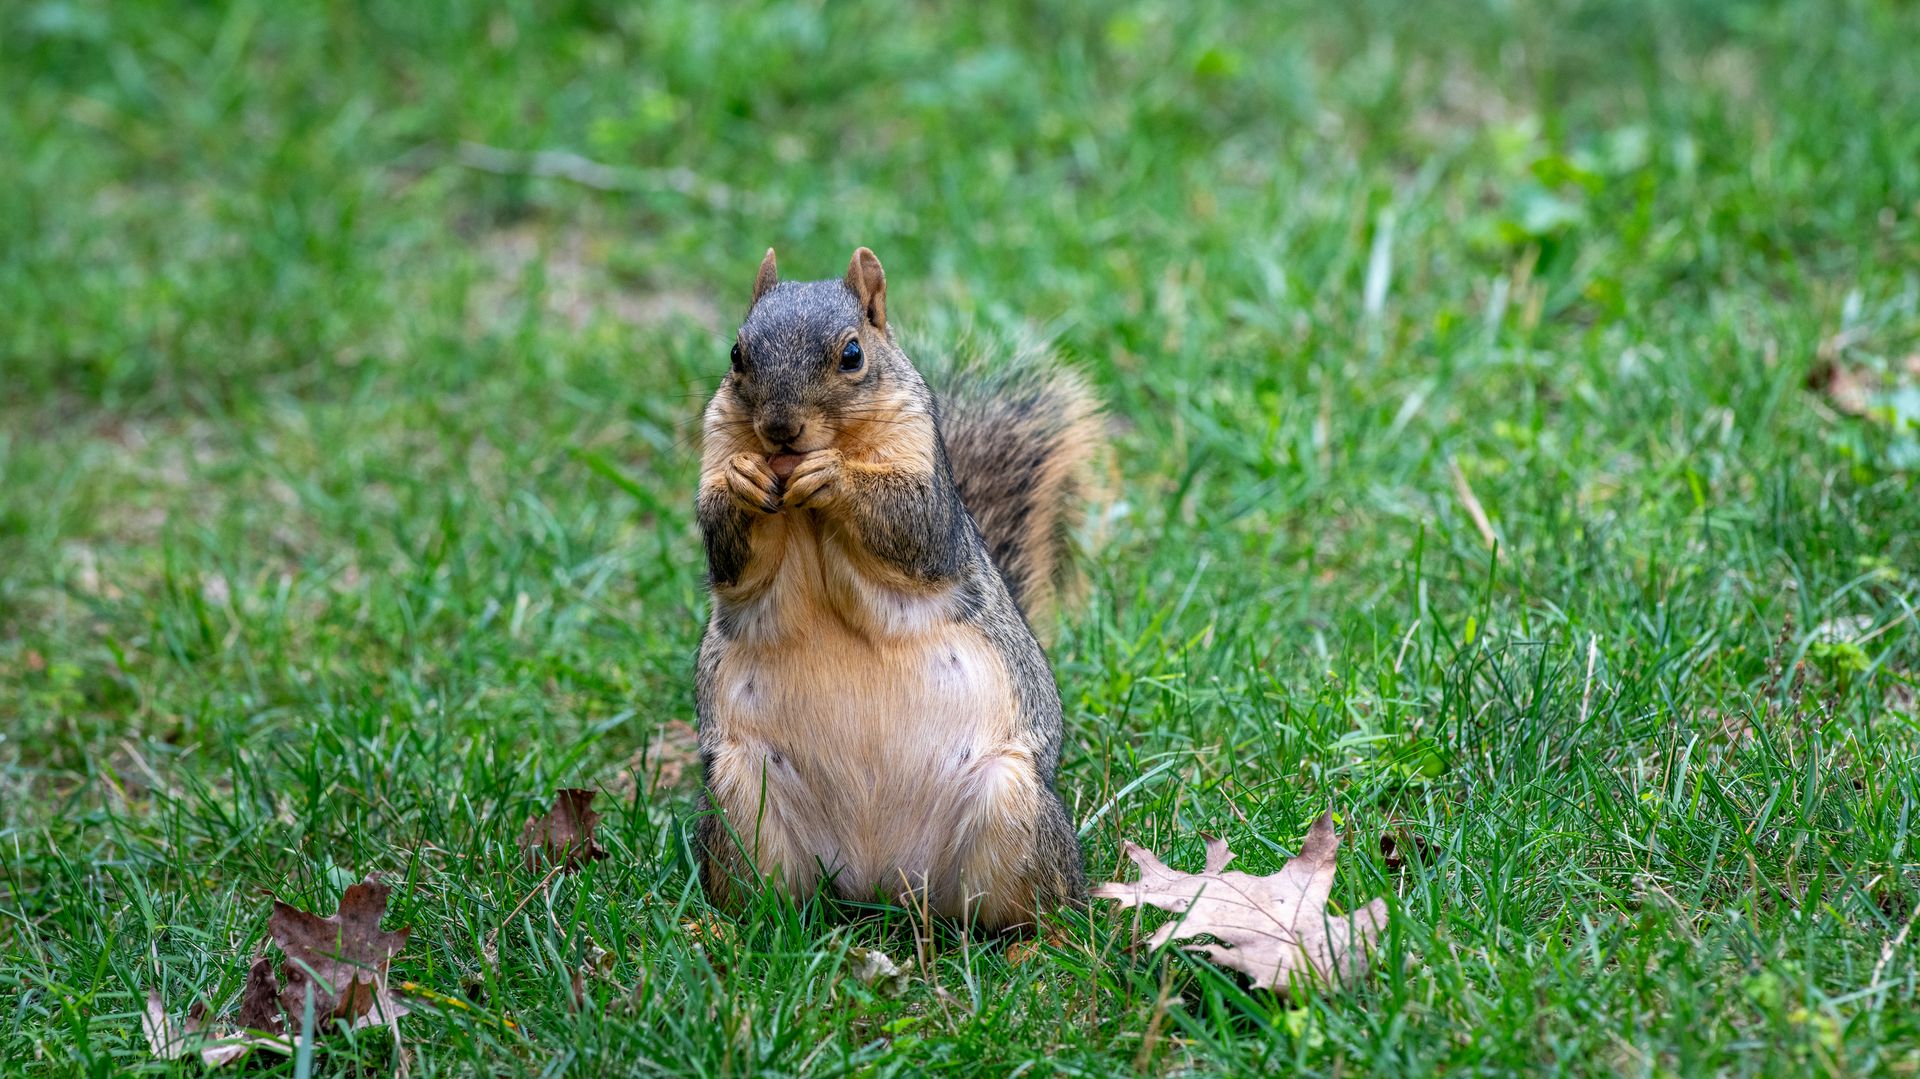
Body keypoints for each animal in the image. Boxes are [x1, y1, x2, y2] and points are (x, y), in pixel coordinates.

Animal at [691, 246, 1103, 933]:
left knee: (1032, 912)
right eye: (735, 354)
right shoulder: (717, 445)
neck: (801, 504)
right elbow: (730, 557)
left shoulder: (926, 488)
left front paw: (836, 475)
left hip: (1013, 812)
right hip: (740, 802)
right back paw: (720, 927)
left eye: (853, 354)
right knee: (766, 903)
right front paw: (743, 481)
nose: (780, 430)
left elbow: (913, 524)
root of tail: (881, 884)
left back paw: (1036, 939)